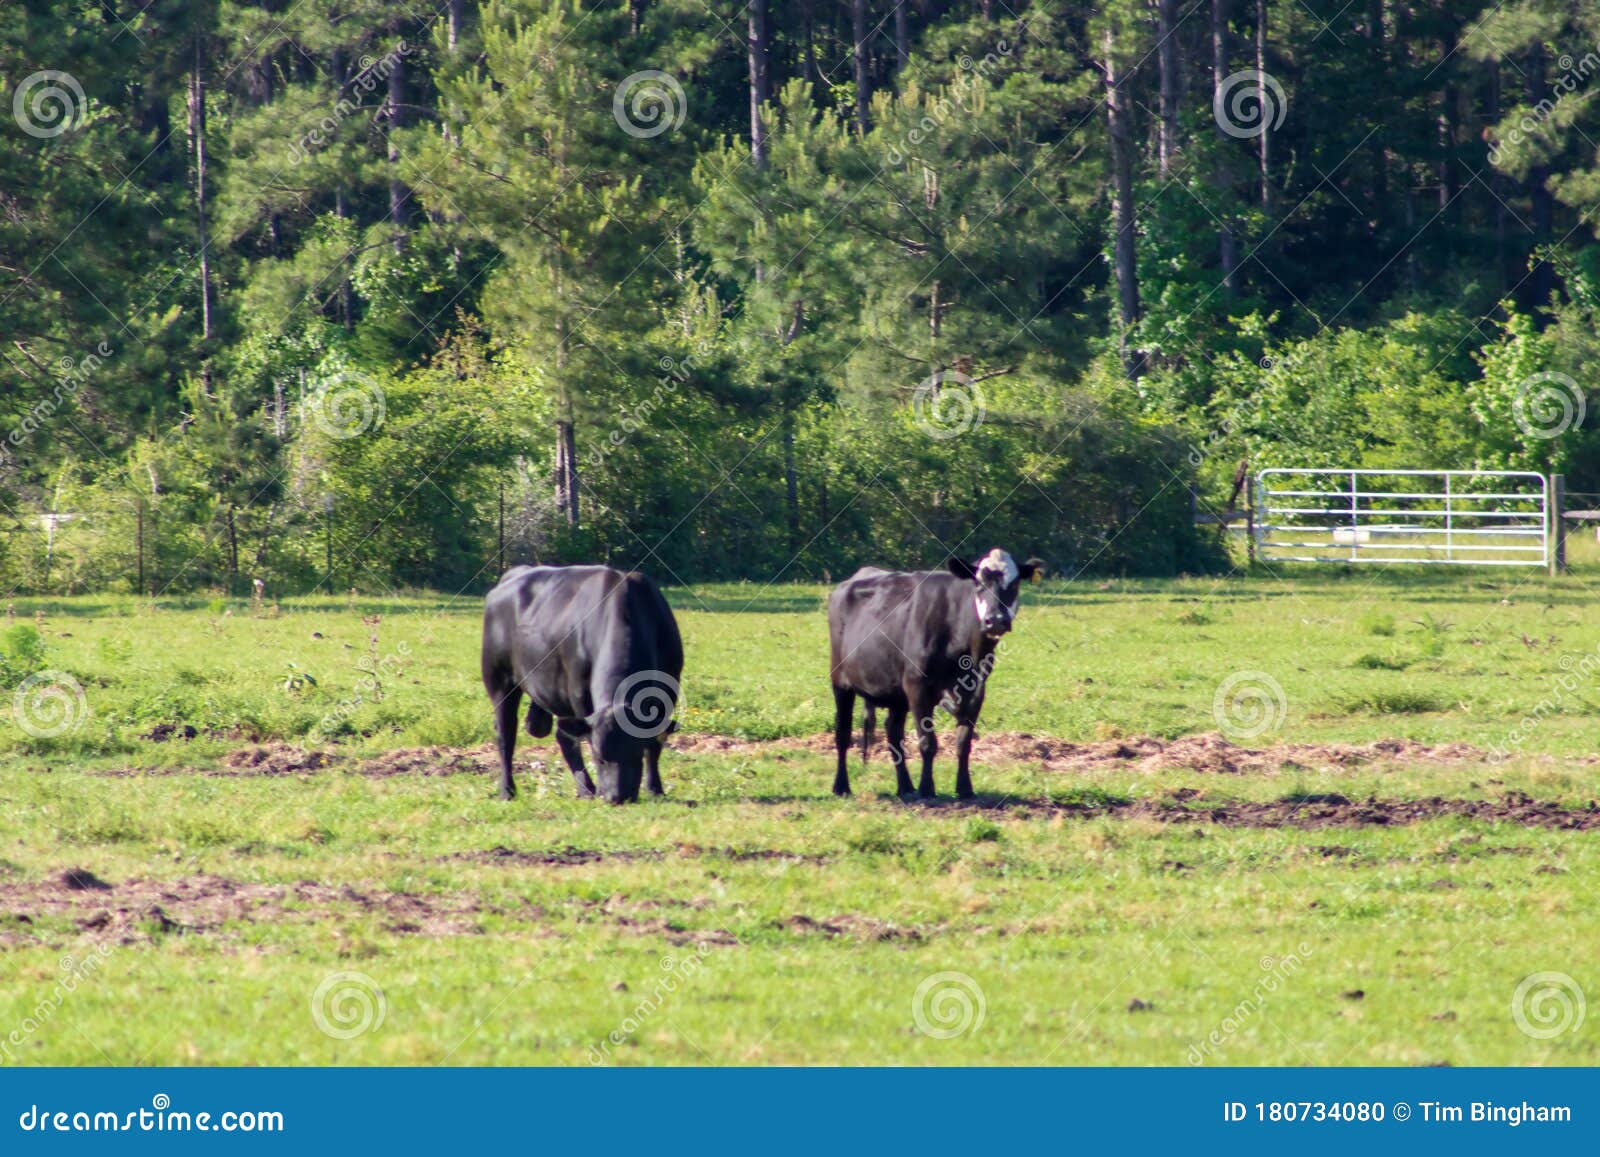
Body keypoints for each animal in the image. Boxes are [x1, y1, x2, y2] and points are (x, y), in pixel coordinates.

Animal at [481, 565, 683, 804]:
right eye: (599, 756)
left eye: (636, 754)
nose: (617, 797)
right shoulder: (579, 693)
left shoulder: (669, 689)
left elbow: (654, 744)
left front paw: (655, 789)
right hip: (500, 681)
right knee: (506, 734)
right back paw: (507, 790)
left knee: (560, 734)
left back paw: (585, 788)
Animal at [828, 549, 1044, 800]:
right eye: (979, 583)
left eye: (1015, 583)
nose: (996, 620)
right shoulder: (917, 686)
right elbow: (927, 742)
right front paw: (927, 789)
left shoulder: (976, 690)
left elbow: (964, 741)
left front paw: (965, 788)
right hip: (840, 681)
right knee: (843, 732)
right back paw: (841, 786)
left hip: (896, 692)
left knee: (893, 734)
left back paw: (905, 786)